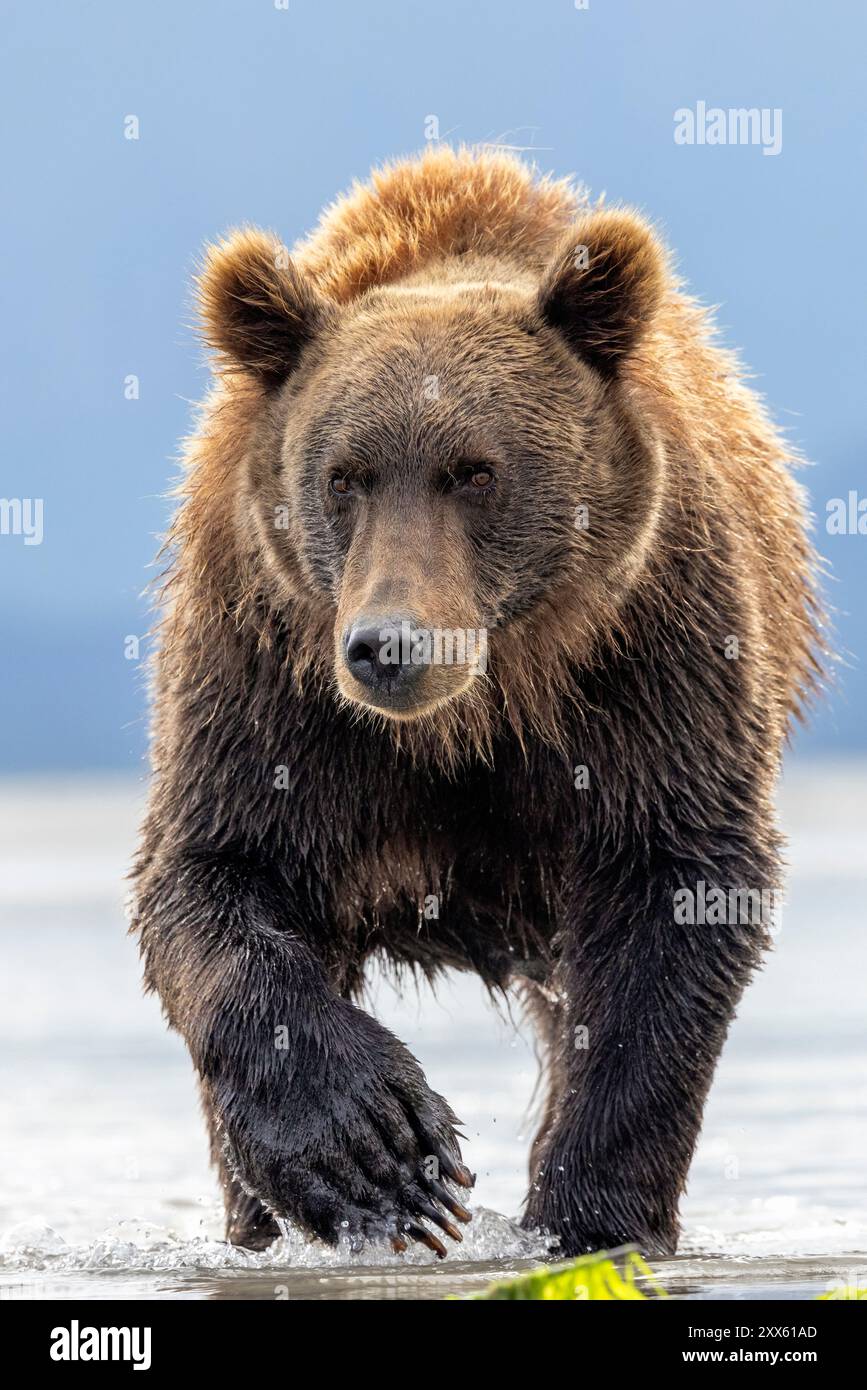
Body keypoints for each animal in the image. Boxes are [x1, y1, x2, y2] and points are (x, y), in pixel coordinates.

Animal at [131, 145, 823, 1259]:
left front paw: (588, 1214)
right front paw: (376, 1153)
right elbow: (214, 875)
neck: (473, 720)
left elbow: (675, 898)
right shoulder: (269, 680)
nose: (391, 645)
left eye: (475, 471)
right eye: (345, 476)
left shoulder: (648, 663)